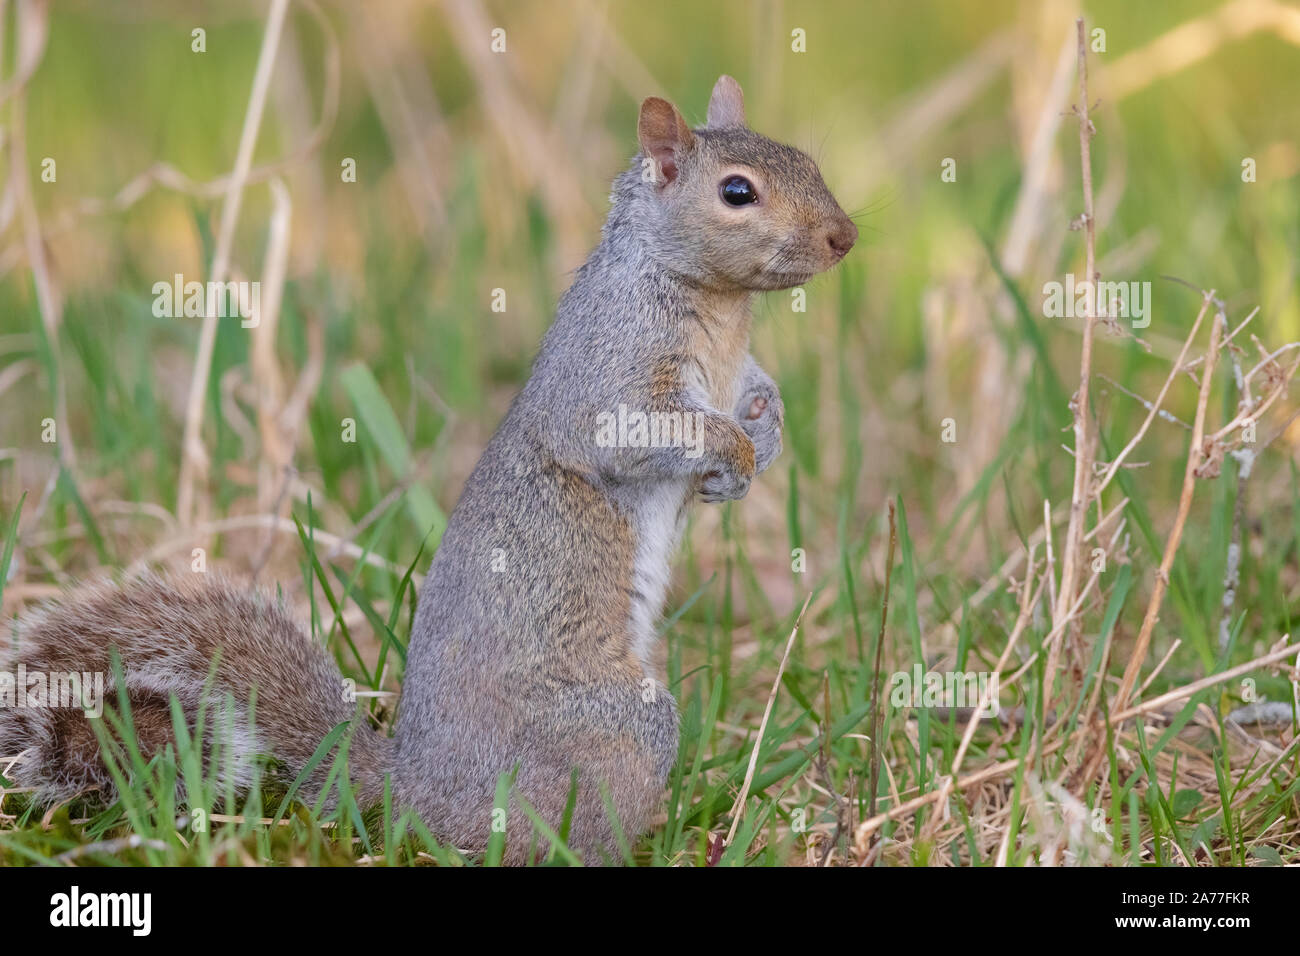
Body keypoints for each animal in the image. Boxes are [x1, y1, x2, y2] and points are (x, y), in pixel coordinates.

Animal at [0, 76, 856, 864]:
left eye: (810, 160)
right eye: (737, 191)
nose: (845, 236)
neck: (722, 308)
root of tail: (415, 791)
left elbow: (758, 396)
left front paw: (760, 443)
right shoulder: (609, 372)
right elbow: (627, 433)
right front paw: (731, 452)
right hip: (619, 730)